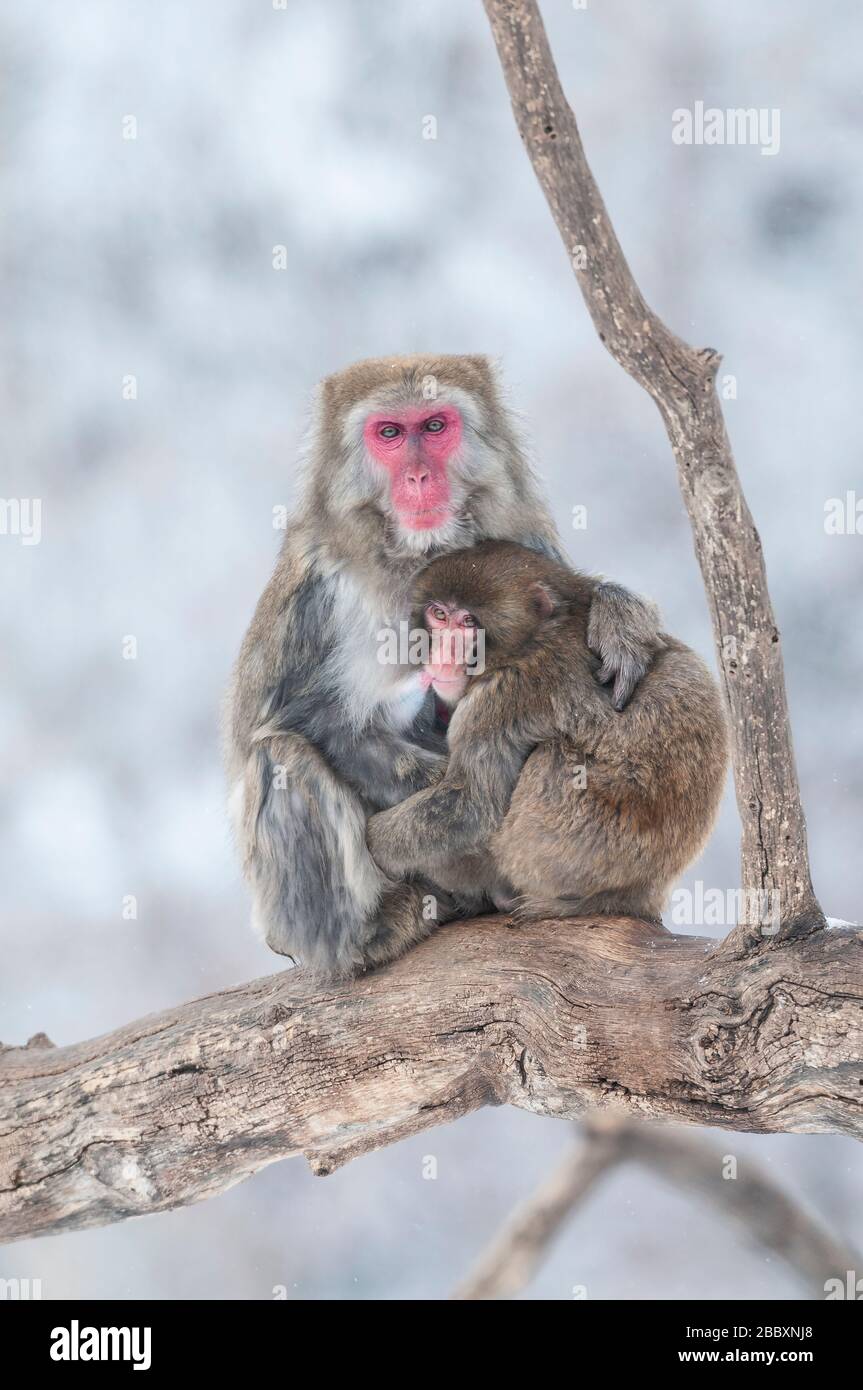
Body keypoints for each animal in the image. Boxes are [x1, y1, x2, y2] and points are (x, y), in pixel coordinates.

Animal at [225, 355, 665, 977]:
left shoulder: (522, 537)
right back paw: (368, 936)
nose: (418, 478)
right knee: (279, 757)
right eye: (389, 433)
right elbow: (299, 719)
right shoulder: (315, 588)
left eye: (434, 426)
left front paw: (617, 613)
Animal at [365, 540, 729, 925]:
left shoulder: (497, 698)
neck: (530, 639)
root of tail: (641, 896)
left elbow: (470, 810)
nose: (443, 655)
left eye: (468, 621)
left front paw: (373, 841)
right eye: (439, 614)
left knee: (549, 759)